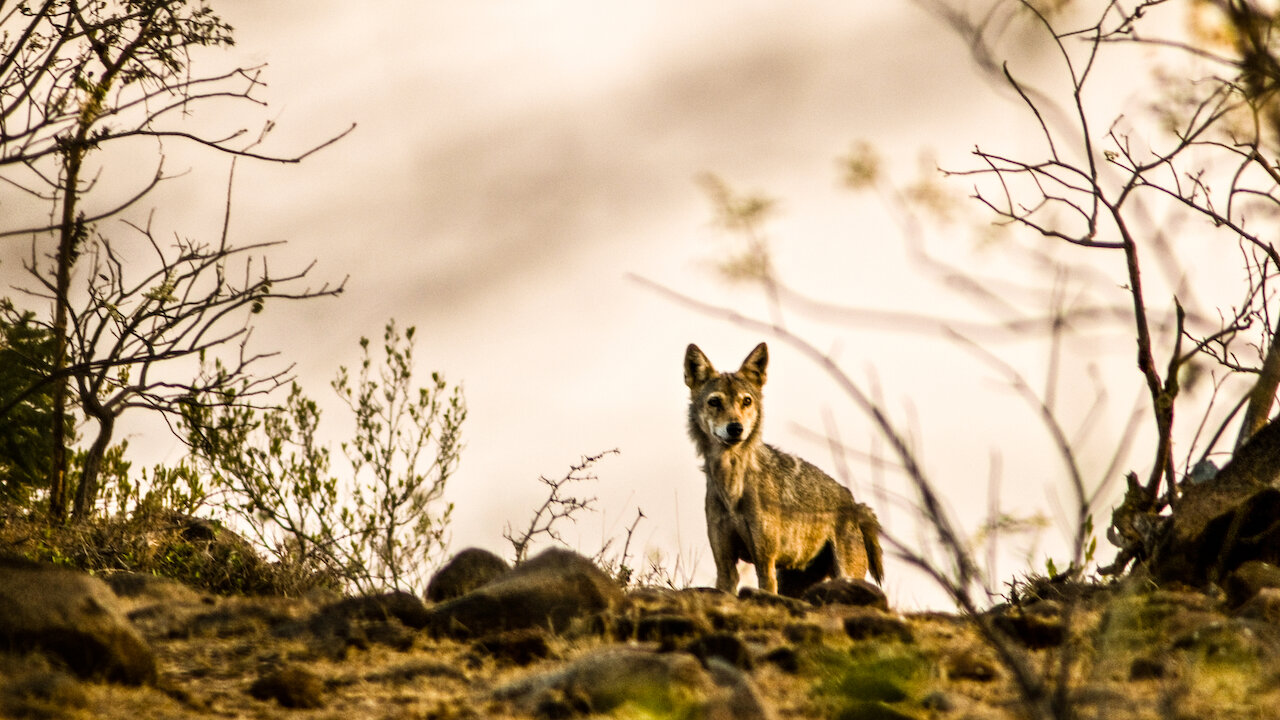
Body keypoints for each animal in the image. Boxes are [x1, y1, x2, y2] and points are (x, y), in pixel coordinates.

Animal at [684, 342, 884, 596]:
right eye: (715, 402)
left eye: (746, 401)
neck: (731, 485)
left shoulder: (765, 564)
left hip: (844, 575)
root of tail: (855, 504)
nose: (735, 428)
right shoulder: (725, 567)